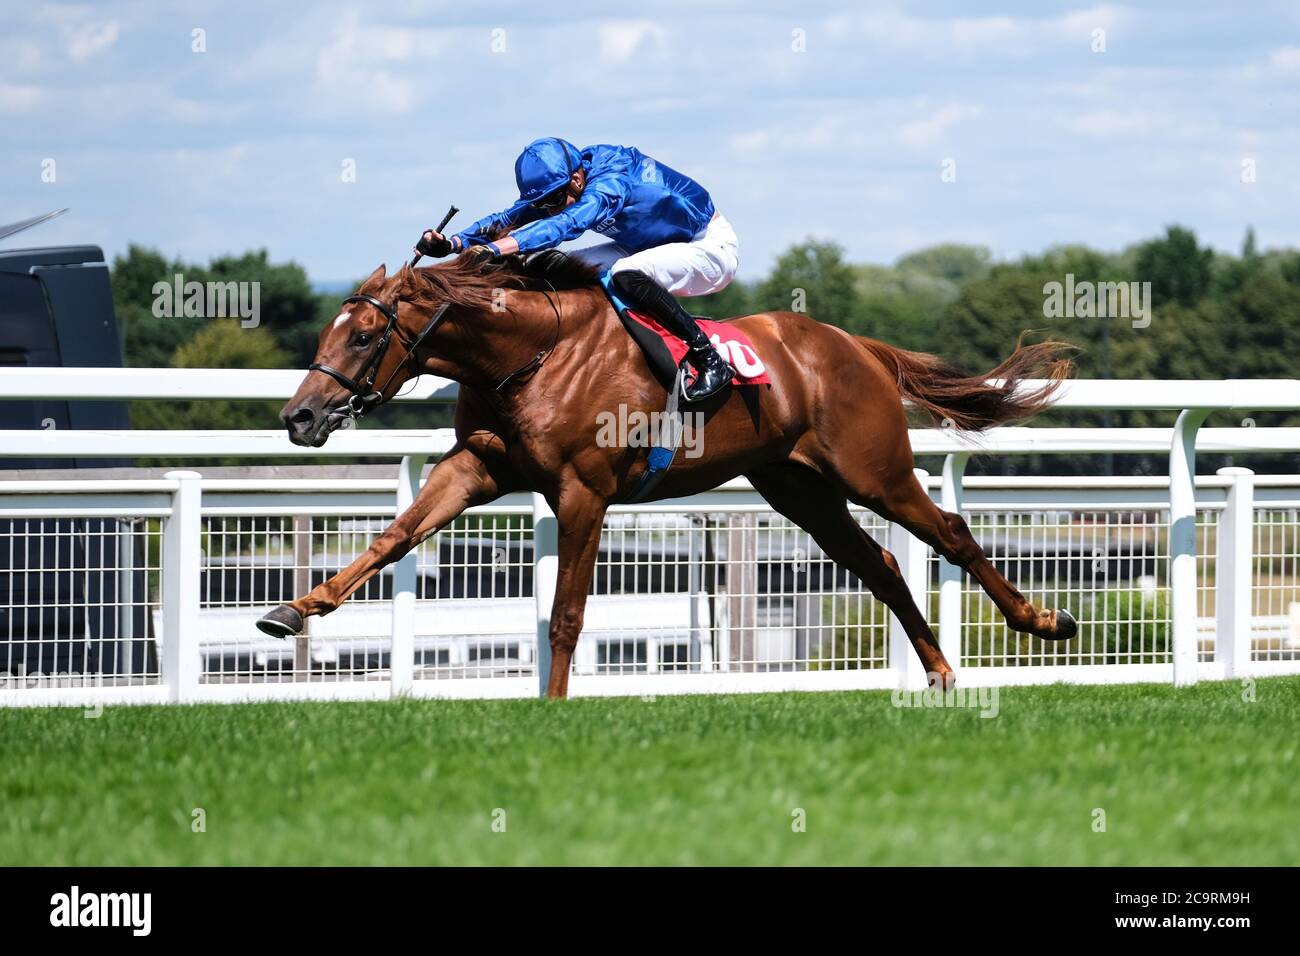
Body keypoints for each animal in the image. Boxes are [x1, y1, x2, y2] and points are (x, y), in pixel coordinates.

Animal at [258, 251, 1076, 698]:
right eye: (330, 328)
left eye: (364, 335)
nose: (299, 416)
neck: (530, 354)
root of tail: (856, 345)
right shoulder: (476, 468)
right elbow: (394, 536)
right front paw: (296, 607)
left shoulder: (584, 490)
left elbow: (565, 613)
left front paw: (554, 704)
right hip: (800, 489)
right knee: (880, 564)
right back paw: (939, 671)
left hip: (873, 472)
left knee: (951, 532)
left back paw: (1042, 621)